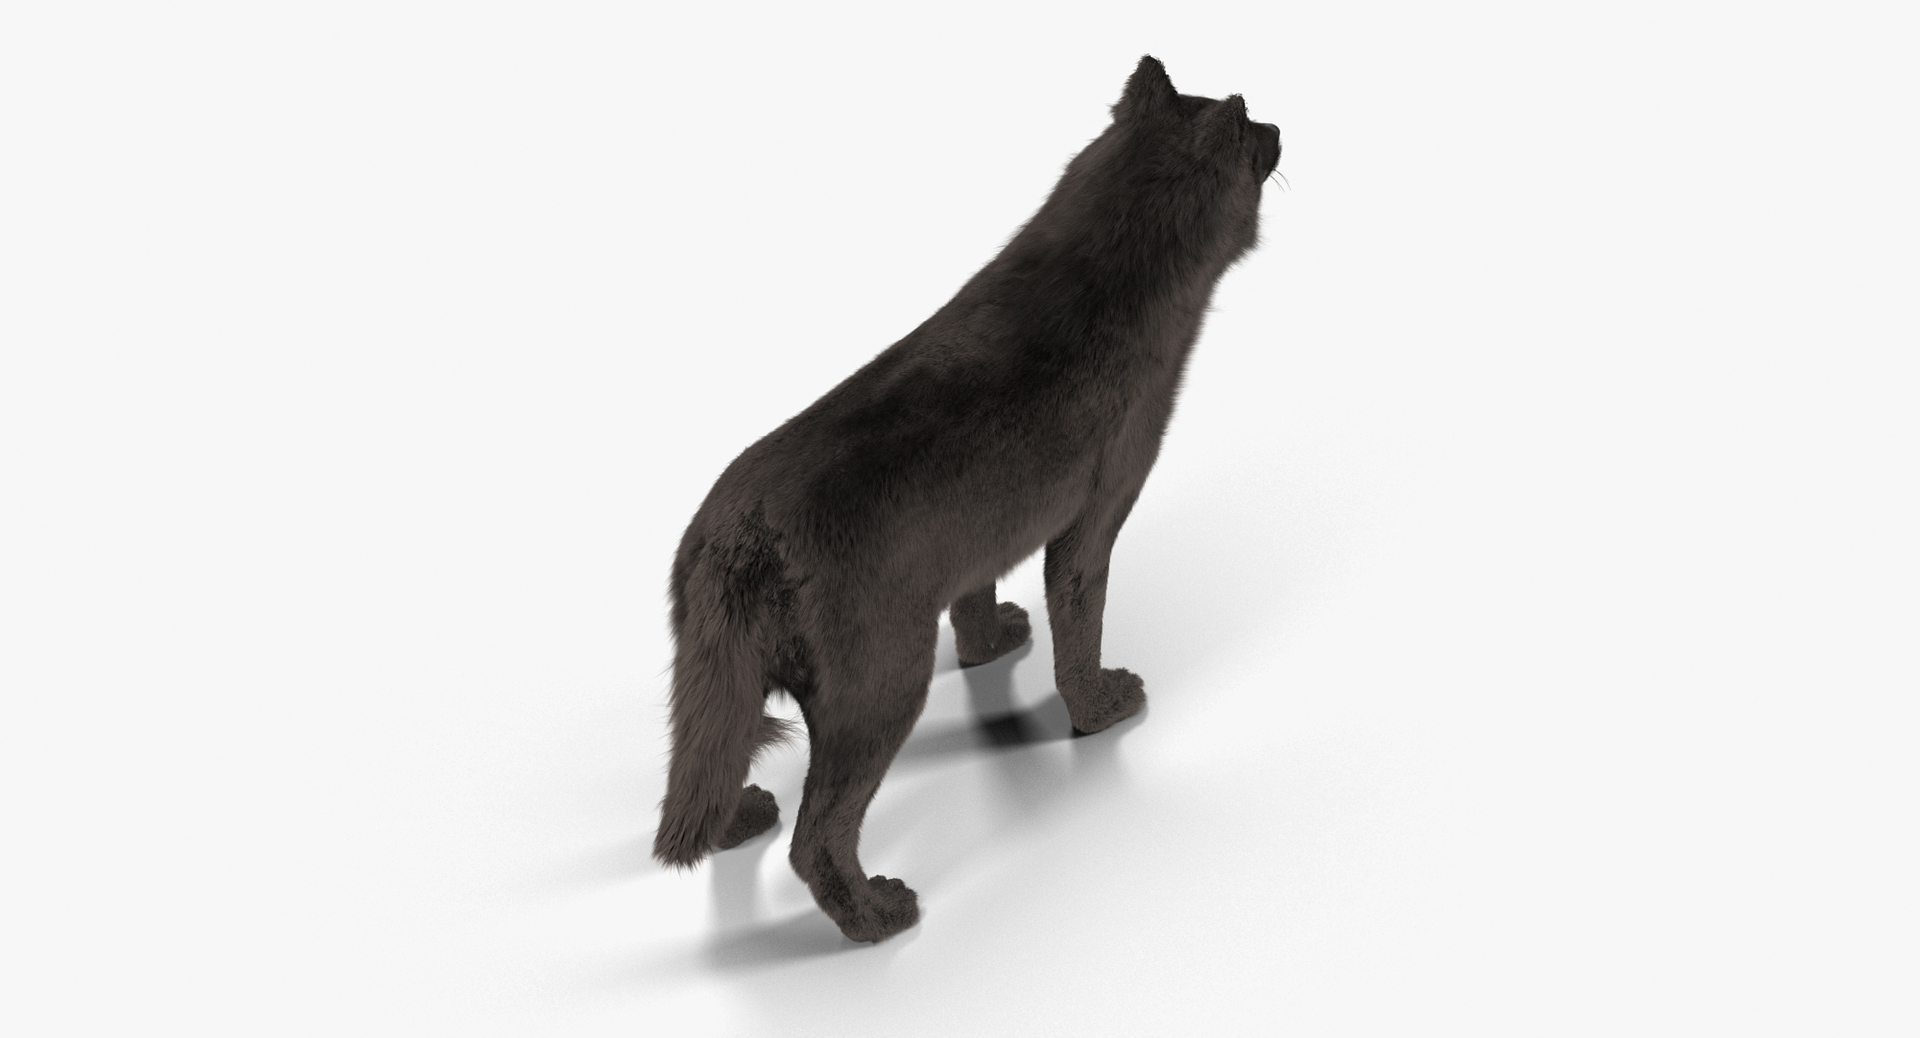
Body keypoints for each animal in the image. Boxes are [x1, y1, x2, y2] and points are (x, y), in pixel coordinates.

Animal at [652, 56, 1281, 942]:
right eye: (1251, 121)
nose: (1282, 128)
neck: (1113, 251)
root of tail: (737, 534)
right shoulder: (1093, 523)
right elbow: (1080, 628)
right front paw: (1104, 707)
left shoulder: (978, 545)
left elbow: (978, 596)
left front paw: (994, 642)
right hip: (880, 689)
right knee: (817, 837)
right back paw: (880, 914)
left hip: (718, 677)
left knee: (710, 772)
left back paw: (742, 818)